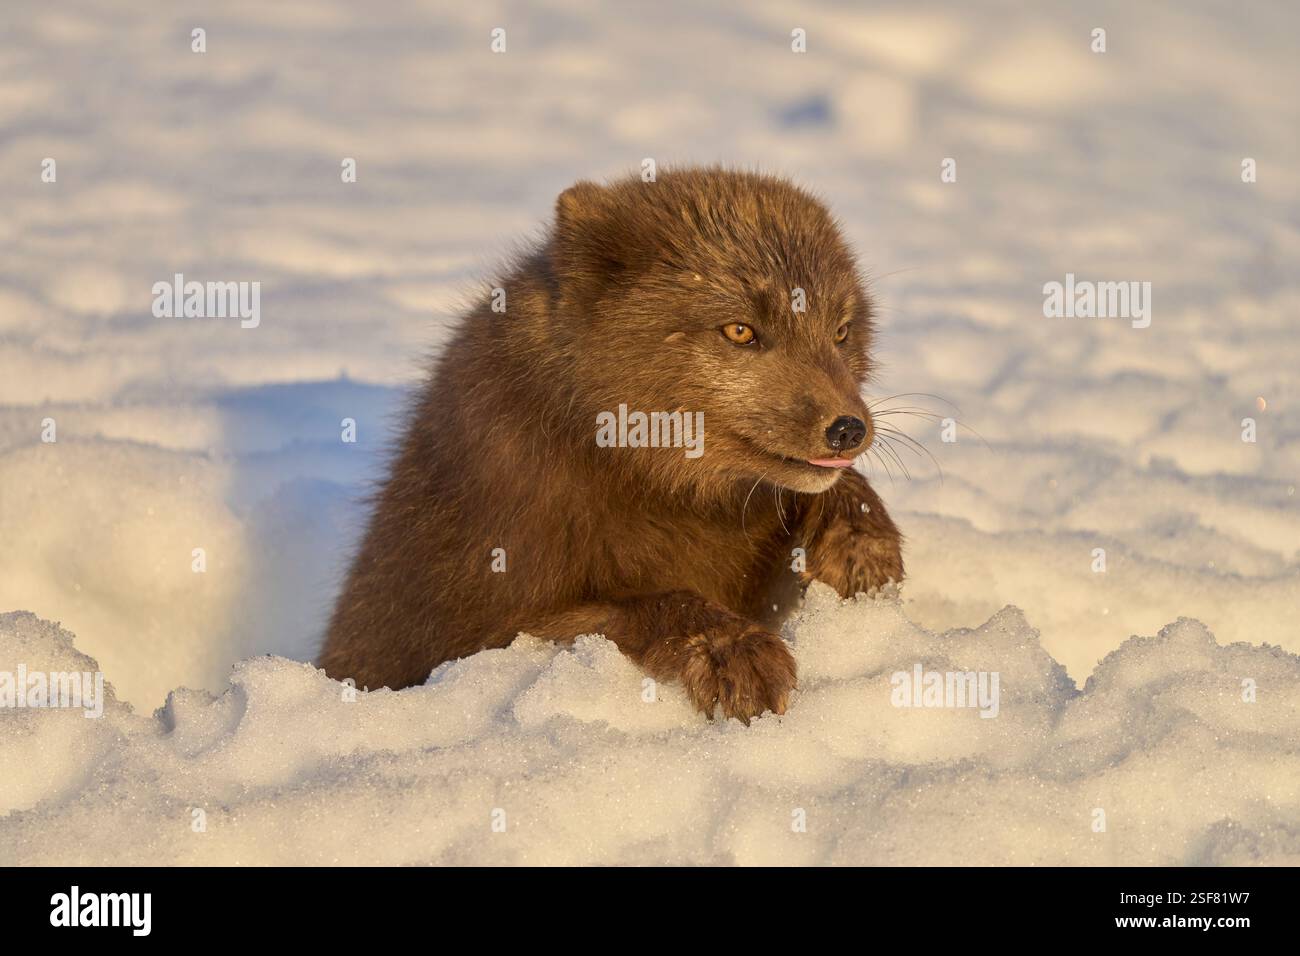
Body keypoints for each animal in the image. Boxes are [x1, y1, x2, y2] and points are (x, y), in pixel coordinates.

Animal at [319, 167, 904, 721]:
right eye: (740, 330)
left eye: (841, 331)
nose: (848, 429)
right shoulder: (488, 622)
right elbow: (652, 602)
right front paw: (734, 651)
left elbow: (840, 492)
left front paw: (862, 548)